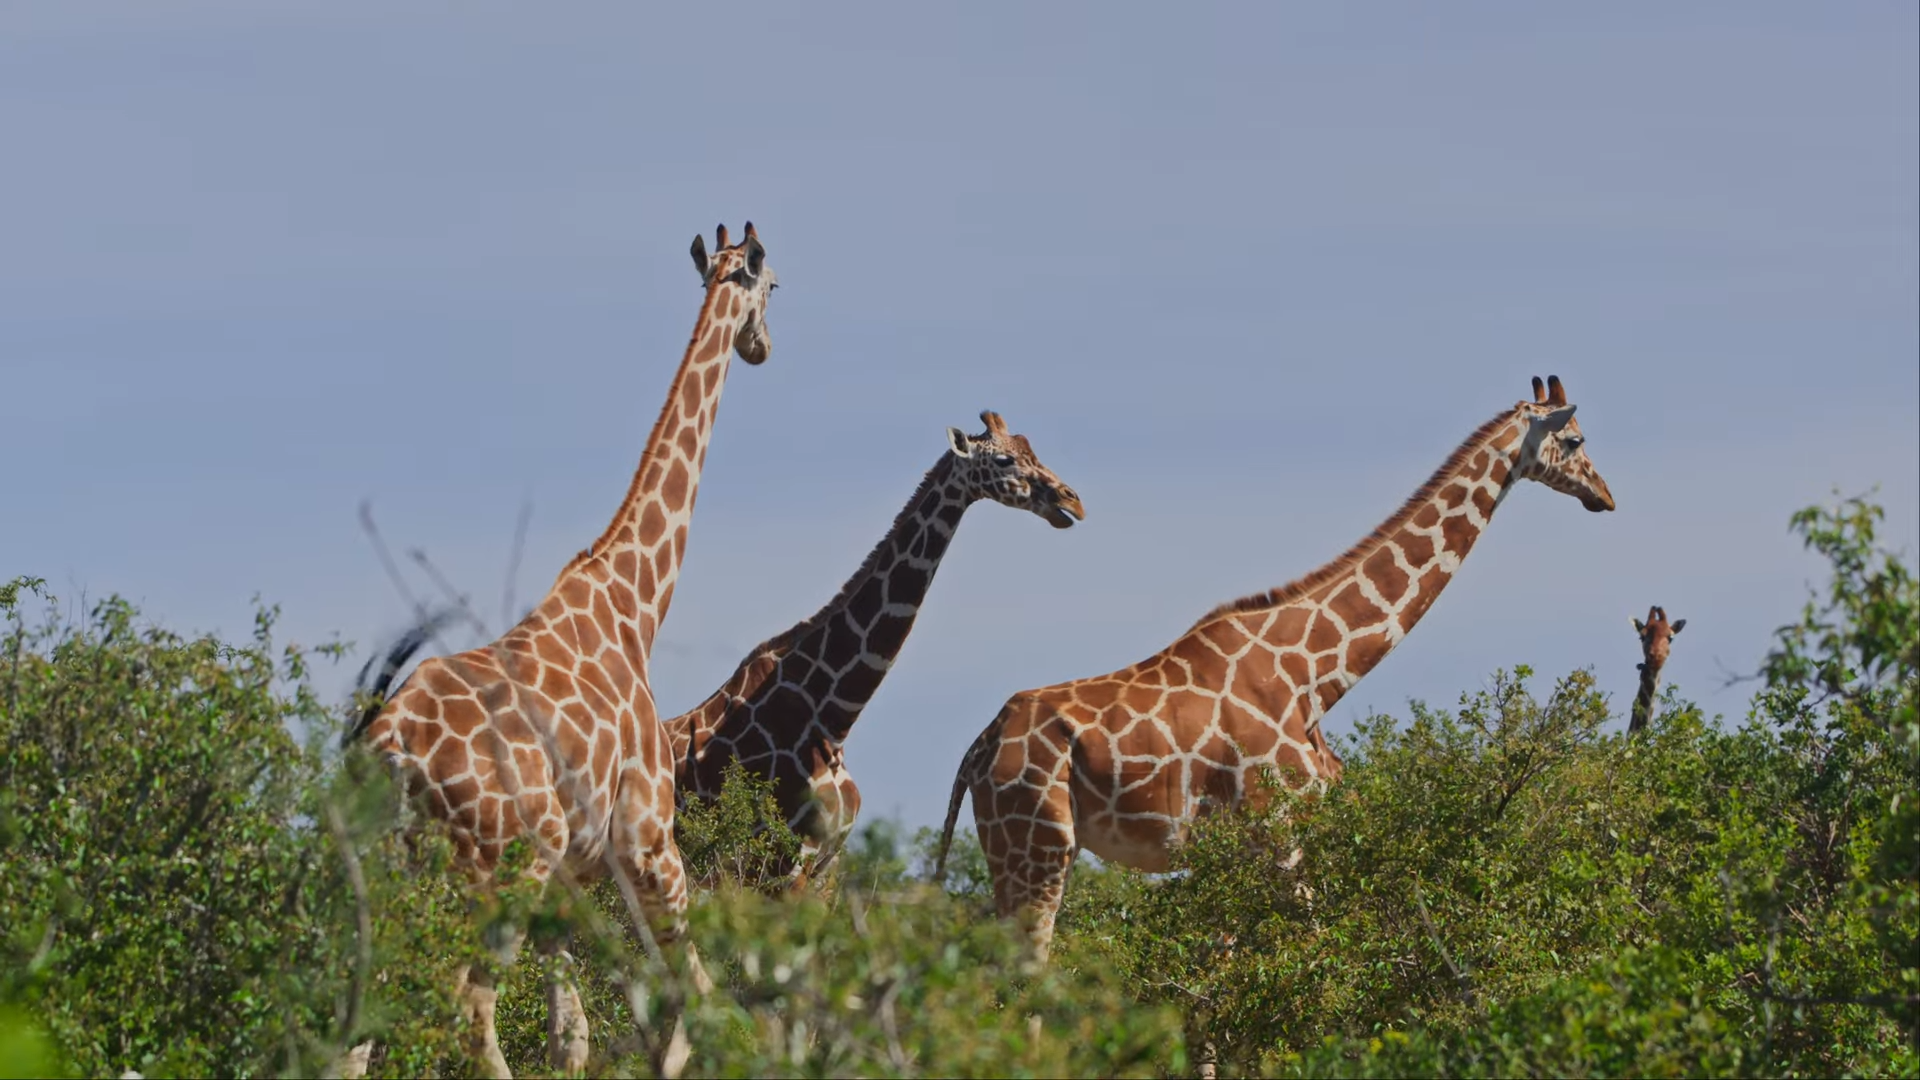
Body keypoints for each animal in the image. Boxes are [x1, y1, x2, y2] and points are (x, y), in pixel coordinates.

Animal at [343, 223, 776, 1077]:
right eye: (774, 285)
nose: (762, 348)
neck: (635, 605)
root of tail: (390, 748)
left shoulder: (575, 879)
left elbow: (574, 1032)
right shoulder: (648, 841)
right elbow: (699, 998)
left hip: (399, 875)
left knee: (364, 1018)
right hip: (495, 870)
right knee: (467, 1005)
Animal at [934, 375, 1616, 960]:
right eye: (1576, 440)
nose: (1605, 496)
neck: (1316, 677)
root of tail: (976, 751)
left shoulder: (1260, 844)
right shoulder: (1281, 830)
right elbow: (1314, 953)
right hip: (1036, 844)